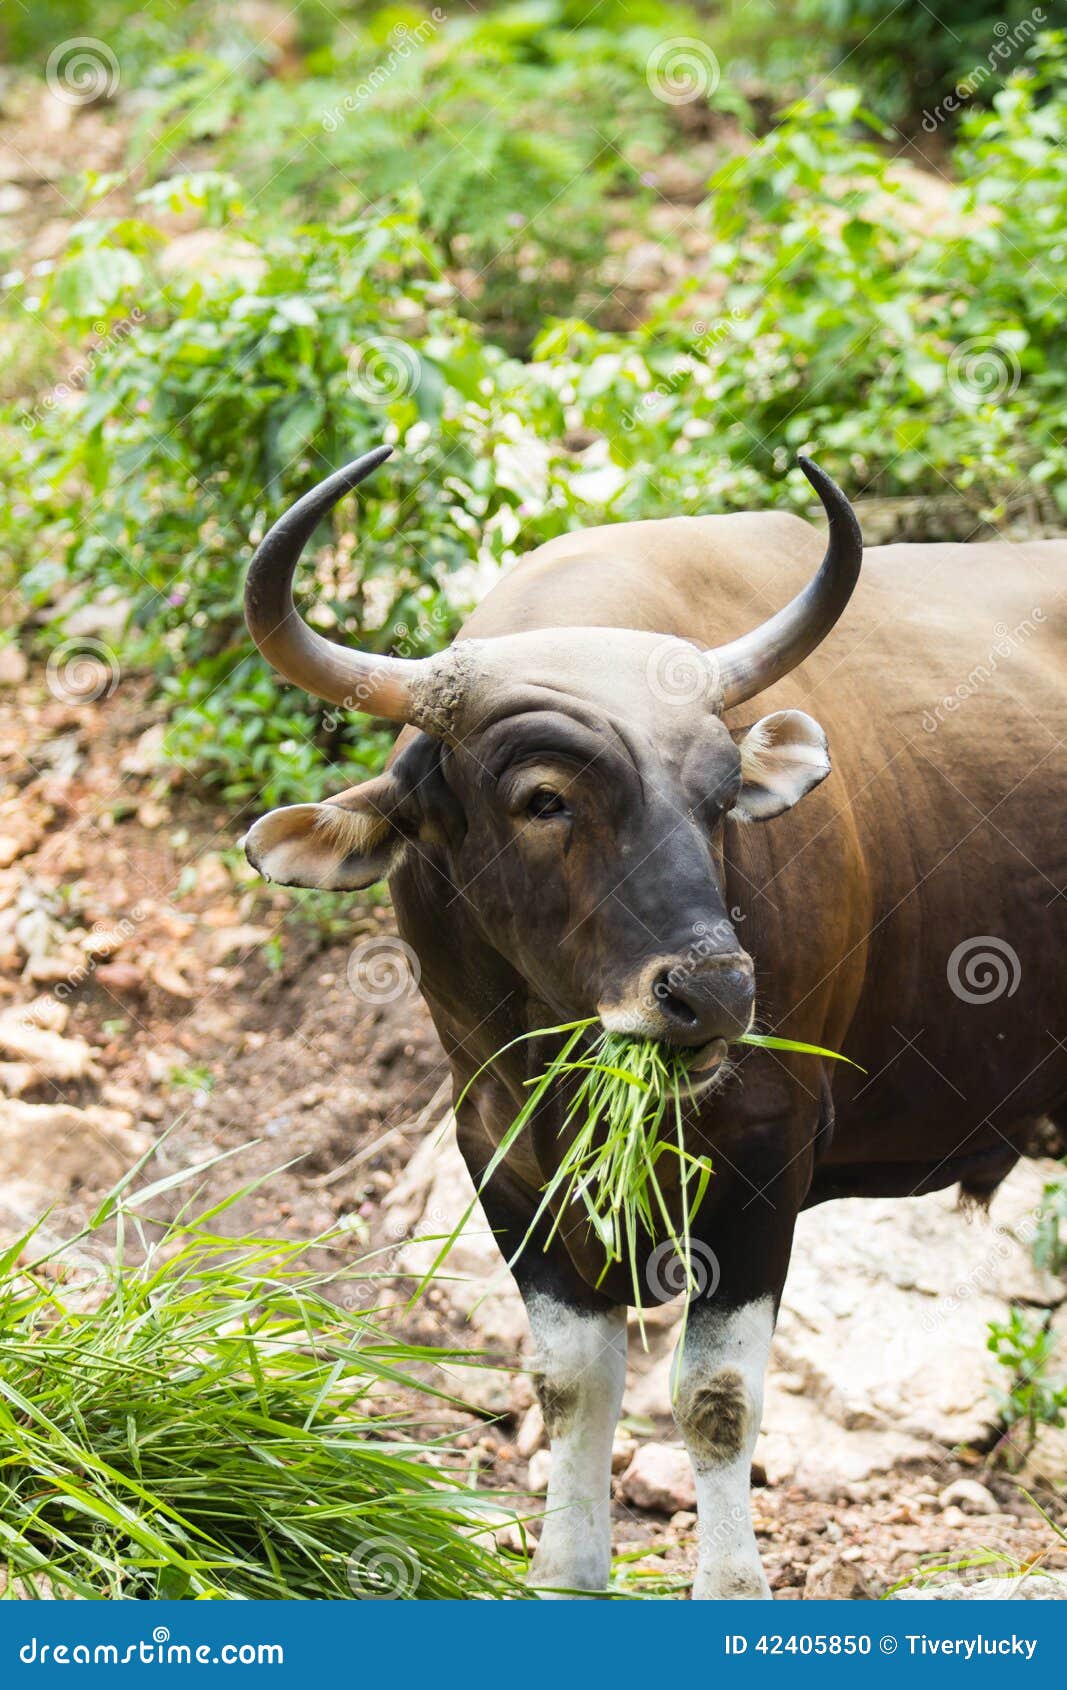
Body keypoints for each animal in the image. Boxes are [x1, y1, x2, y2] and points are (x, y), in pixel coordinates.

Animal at [242, 445, 1066, 1599]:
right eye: (542, 798)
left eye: (719, 796)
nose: (712, 992)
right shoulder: (501, 1155)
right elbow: (569, 1380)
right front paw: (566, 1569)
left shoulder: (763, 1158)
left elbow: (713, 1400)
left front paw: (727, 1583)